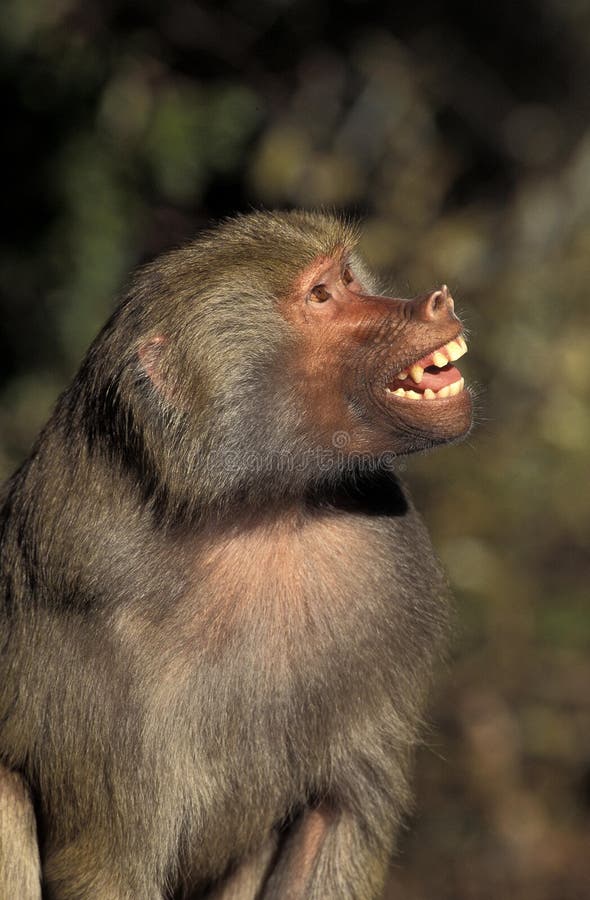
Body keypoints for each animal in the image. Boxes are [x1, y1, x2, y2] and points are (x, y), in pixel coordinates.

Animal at [0, 210, 472, 899]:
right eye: (321, 296)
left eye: (348, 277)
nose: (437, 302)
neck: (258, 514)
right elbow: (107, 865)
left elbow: (336, 819)